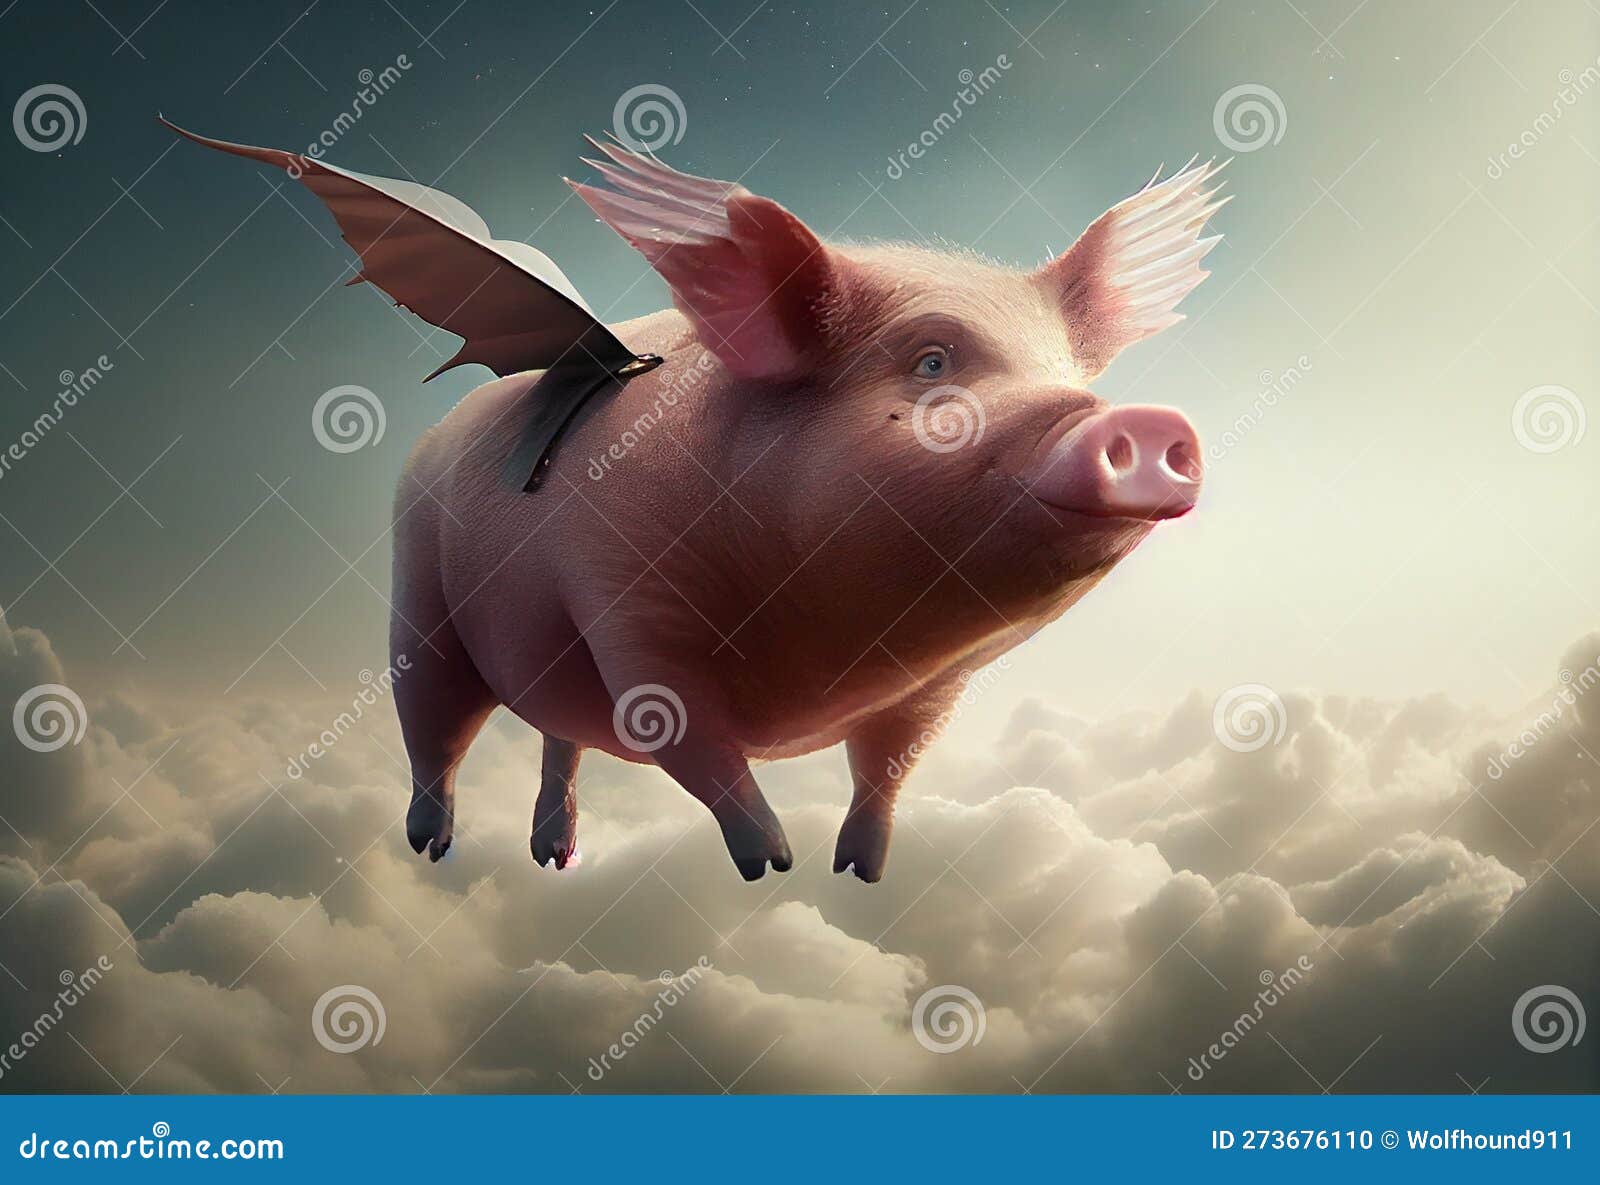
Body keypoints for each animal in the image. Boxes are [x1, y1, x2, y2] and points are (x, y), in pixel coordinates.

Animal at [389, 142, 1223, 881]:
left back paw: (555, 858)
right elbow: (690, 740)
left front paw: (859, 872)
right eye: (931, 360)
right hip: (418, 592)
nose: (1151, 421)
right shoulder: (626, 605)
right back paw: (430, 848)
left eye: (1073, 371)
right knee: (435, 726)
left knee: (559, 739)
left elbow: (890, 761)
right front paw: (773, 864)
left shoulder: (933, 687)